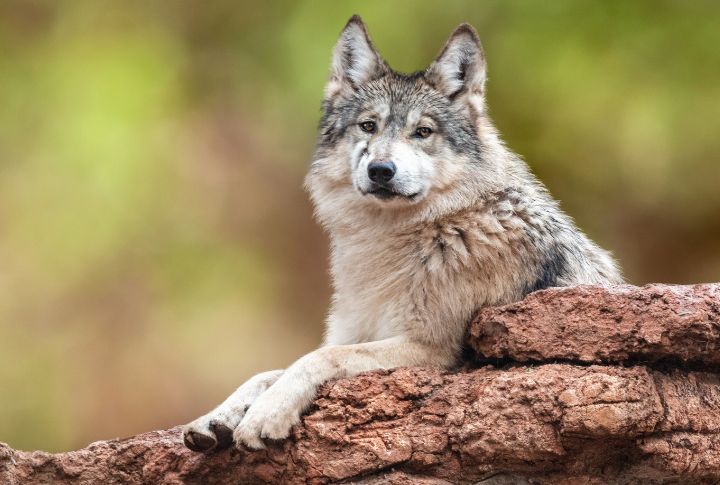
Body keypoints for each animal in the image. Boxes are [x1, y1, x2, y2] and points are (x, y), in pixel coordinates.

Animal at [183, 15, 622, 452]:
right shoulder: (356, 331)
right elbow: (268, 372)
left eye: (423, 132)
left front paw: (265, 415)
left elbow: (318, 358)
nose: (381, 170)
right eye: (368, 126)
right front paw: (213, 418)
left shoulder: (430, 349)